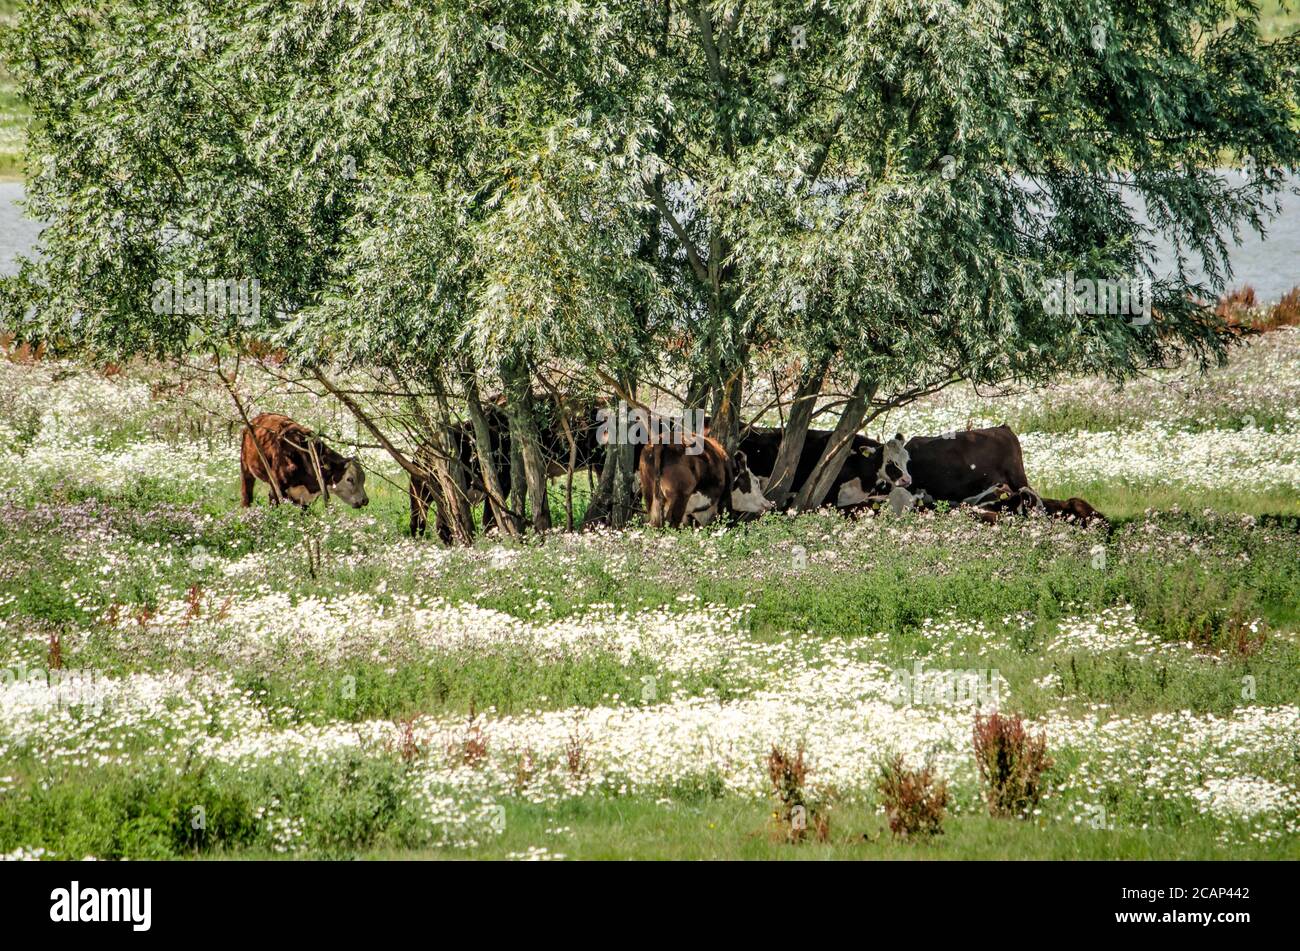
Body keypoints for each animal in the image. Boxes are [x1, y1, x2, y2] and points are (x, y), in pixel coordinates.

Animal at [240, 413, 368, 508]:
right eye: (350, 479)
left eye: (363, 479)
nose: (365, 500)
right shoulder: (276, 489)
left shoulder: (306, 500)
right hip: (245, 468)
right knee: (246, 494)